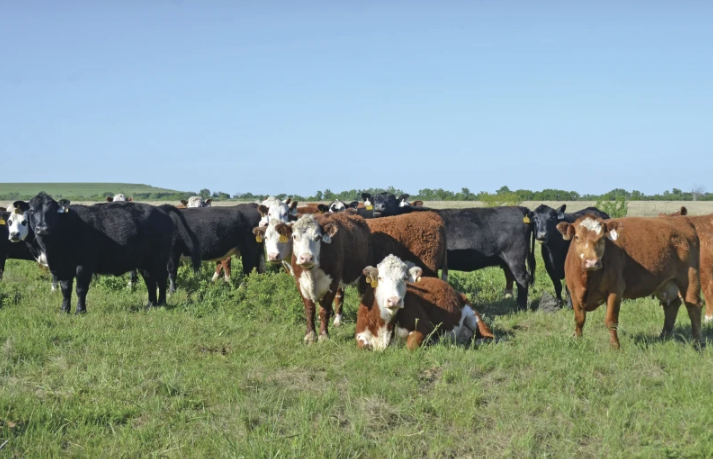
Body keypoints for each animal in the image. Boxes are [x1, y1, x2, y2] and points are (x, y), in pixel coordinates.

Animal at [21, 192, 200, 313]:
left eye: (52, 211)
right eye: (31, 211)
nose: (43, 228)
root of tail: (161, 209)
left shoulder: (84, 266)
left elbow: (80, 289)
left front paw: (80, 310)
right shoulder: (62, 268)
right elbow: (66, 290)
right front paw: (64, 310)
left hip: (160, 258)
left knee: (161, 279)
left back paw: (162, 303)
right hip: (145, 262)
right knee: (150, 281)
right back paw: (150, 304)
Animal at [274, 212, 372, 343]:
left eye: (317, 237)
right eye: (294, 237)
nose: (306, 257)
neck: (311, 273)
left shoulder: (332, 282)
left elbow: (324, 309)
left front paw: (323, 336)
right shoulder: (300, 283)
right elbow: (309, 309)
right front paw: (310, 336)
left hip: (362, 275)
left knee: (362, 296)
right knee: (339, 297)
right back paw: (337, 321)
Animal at [355, 255, 493, 351]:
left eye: (405, 278)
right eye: (380, 278)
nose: (394, 300)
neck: (384, 325)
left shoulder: (425, 326)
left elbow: (410, 345)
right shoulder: (360, 332)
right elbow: (362, 345)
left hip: (472, 313)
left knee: (488, 335)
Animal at [557, 215, 702, 349]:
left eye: (602, 238)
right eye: (577, 237)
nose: (592, 262)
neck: (586, 280)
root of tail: (680, 219)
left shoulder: (615, 291)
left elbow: (611, 320)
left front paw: (615, 346)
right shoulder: (574, 293)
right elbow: (579, 318)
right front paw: (577, 339)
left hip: (689, 278)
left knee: (693, 306)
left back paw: (696, 342)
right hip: (666, 283)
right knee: (671, 305)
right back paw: (663, 336)